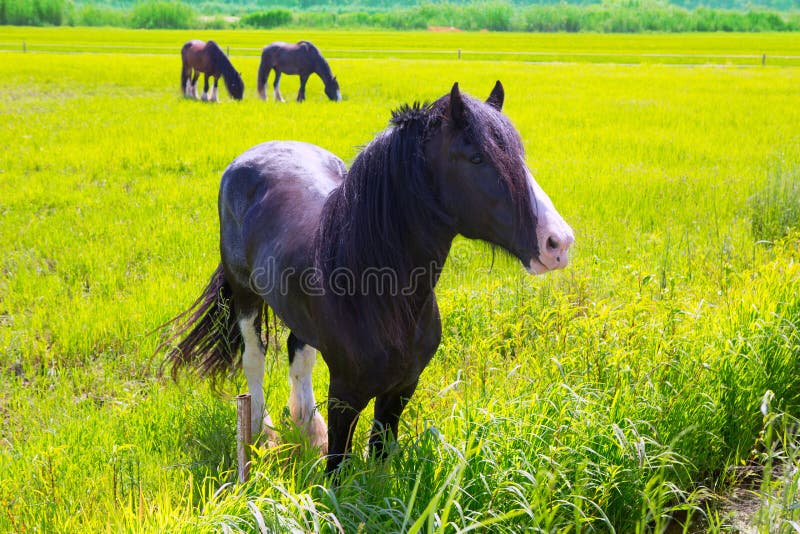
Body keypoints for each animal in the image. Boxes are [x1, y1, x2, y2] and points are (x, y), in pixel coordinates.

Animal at [160, 82, 574, 475]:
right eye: (477, 158)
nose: (559, 242)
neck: (377, 291)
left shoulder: (401, 389)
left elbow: (379, 458)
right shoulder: (346, 394)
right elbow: (338, 470)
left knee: (298, 352)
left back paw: (309, 431)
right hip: (244, 294)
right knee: (254, 357)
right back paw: (264, 434)